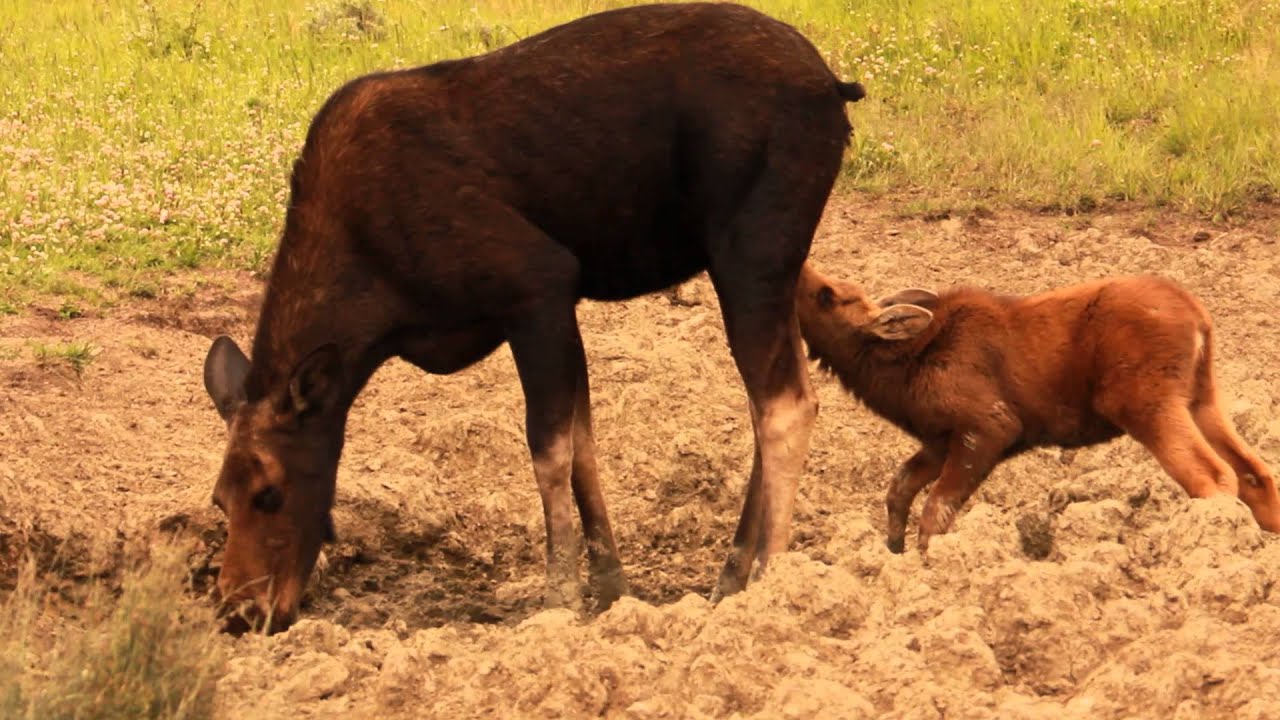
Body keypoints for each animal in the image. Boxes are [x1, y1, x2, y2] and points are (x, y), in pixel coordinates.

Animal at [199, 2, 867, 633]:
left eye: (270, 493)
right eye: (219, 500)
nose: (239, 611)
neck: (374, 303)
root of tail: (833, 87)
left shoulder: (538, 284)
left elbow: (549, 449)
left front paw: (560, 598)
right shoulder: (554, 307)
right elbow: (583, 443)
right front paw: (610, 587)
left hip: (751, 251)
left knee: (786, 404)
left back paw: (771, 582)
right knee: (767, 401)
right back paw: (731, 574)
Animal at [793, 261, 1280, 553]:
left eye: (828, 294)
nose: (799, 265)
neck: (898, 372)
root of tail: (1200, 318)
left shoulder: (989, 425)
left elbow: (936, 511)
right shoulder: (939, 440)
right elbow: (899, 487)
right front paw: (893, 549)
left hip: (1146, 402)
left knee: (1213, 475)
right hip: (1202, 396)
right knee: (1254, 471)